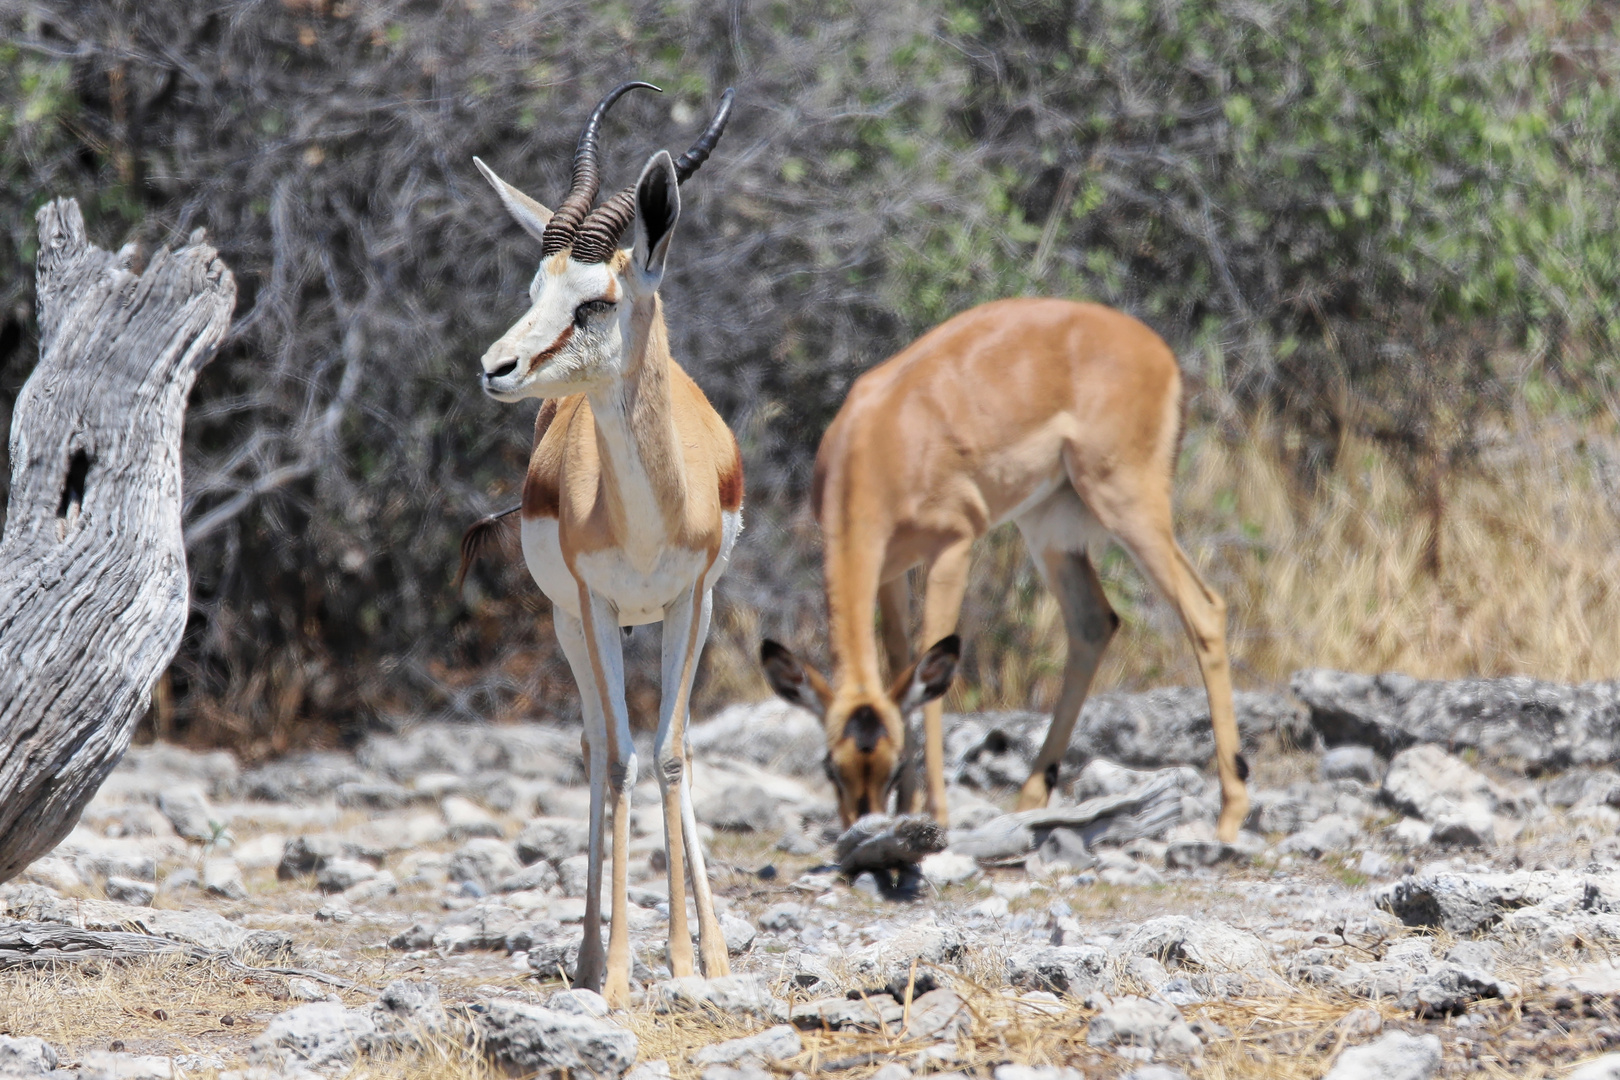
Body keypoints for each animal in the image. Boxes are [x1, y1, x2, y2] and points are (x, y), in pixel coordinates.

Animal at [460, 84, 741, 1003]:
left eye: (596, 302)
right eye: (534, 288)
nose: (497, 368)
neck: (651, 517)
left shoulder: (690, 599)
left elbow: (672, 756)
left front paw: (689, 963)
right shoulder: (596, 602)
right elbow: (619, 760)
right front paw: (615, 978)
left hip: (681, 616)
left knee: (669, 749)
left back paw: (713, 954)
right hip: (571, 627)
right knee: (594, 747)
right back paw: (587, 959)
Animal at [761, 297, 1250, 841]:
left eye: (889, 765)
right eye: (831, 766)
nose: (860, 823)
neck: (879, 444)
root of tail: (1157, 349)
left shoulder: (952, 548)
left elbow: (933, 665)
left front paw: (936, 814)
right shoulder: (889, 571)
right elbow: (899, 664)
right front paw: (909, 808)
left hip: (1127, 503)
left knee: (1204, 609)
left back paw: (1230, 816)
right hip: (1049, 528)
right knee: (1093, 623)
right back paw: (1029, 800)